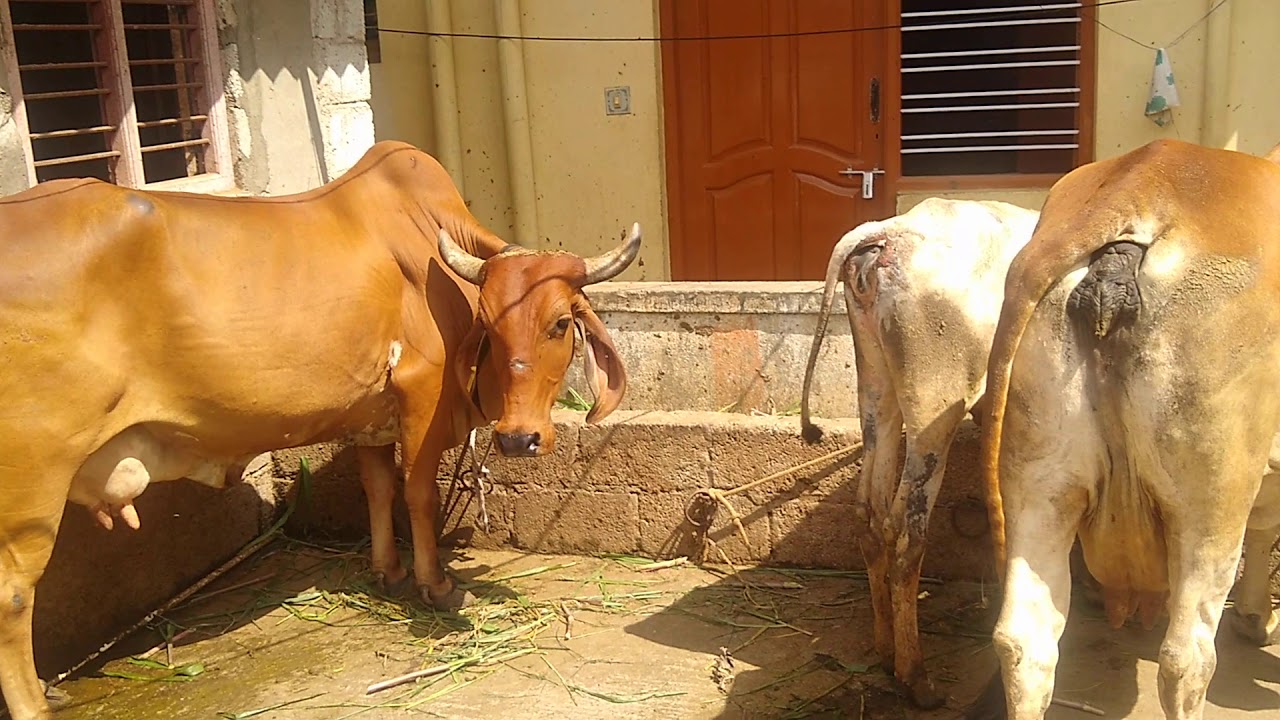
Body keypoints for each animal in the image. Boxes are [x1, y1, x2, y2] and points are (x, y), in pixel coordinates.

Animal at [0, 140, 640, 720]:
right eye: (490, 325)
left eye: (560, 323)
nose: (517, 438)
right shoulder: (421, 398)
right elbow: (419, 494)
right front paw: (434, 585)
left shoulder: (371, 420)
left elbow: (377, 489)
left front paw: (387, 571)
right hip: (33, 480)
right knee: (13, 594)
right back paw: (36, 705)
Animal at [799, 197, 1040, 707]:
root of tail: (885, 233)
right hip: (934, 403)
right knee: (907, 531)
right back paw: (915, 676)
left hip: (877, 387)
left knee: (869, 513)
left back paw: (886, 649)